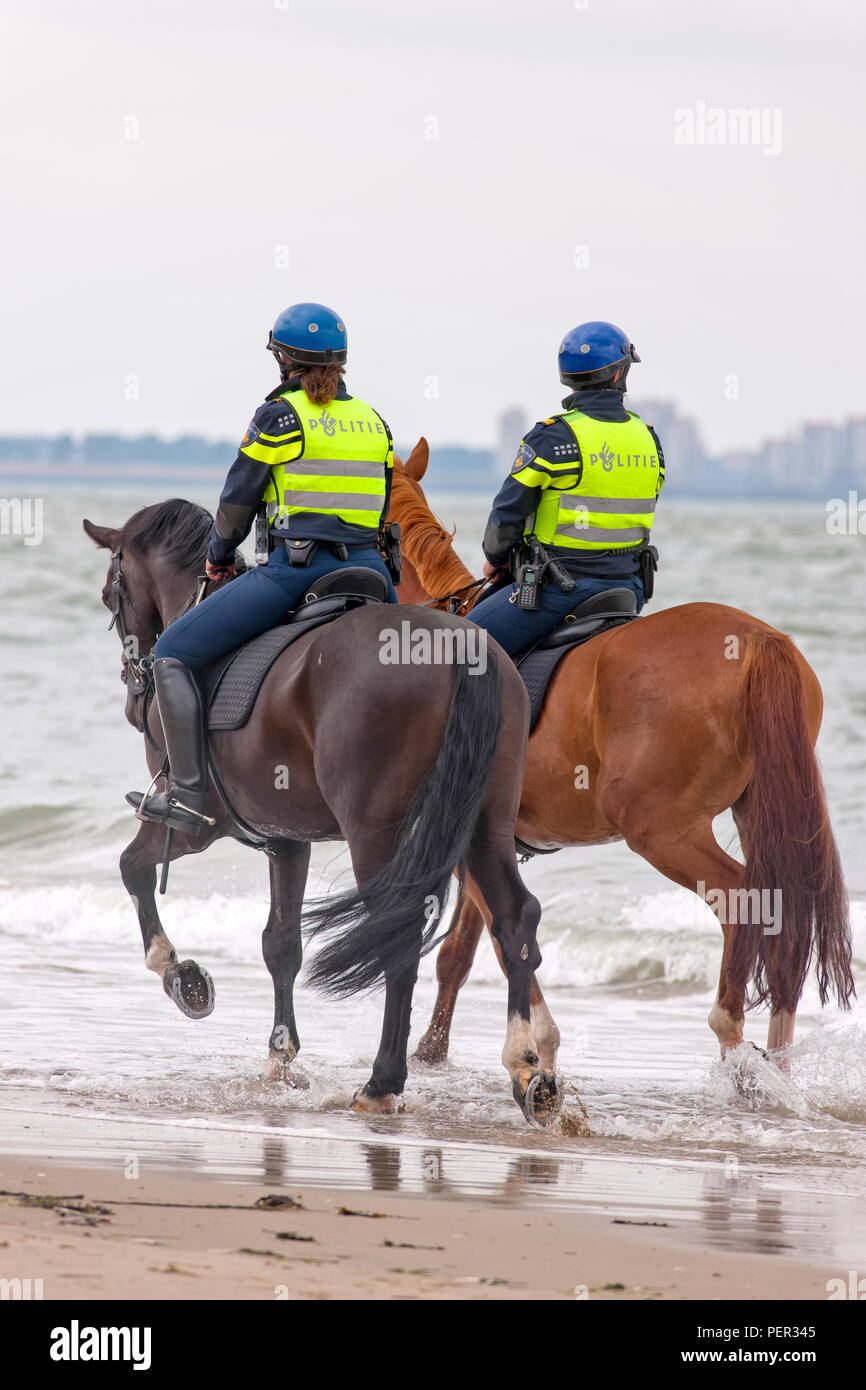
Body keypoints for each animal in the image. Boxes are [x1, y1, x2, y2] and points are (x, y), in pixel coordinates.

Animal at [84, 498, 561, 1126]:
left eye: (109, 595)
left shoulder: (199, 824)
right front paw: (279, 1058)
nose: (131, 690)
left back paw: (383, 1082)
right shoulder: (287, 837)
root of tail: (458, 646)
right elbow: (281, 943)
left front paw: (182, 978)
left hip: (376, 834)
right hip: (486, 827)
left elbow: (133, 868)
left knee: (399, 933)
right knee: (513, 920)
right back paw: (532, 1074)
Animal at [388, 439, 855, 1084]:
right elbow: (463, 952)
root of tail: (757, 641)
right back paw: (777, 1064)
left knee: (743, 901)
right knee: (785, 911)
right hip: (760, 810)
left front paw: (532, 1050)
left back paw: (734, 1044)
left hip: (661, 831)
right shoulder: (486, 843)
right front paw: (434, 1055)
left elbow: (501, 943)